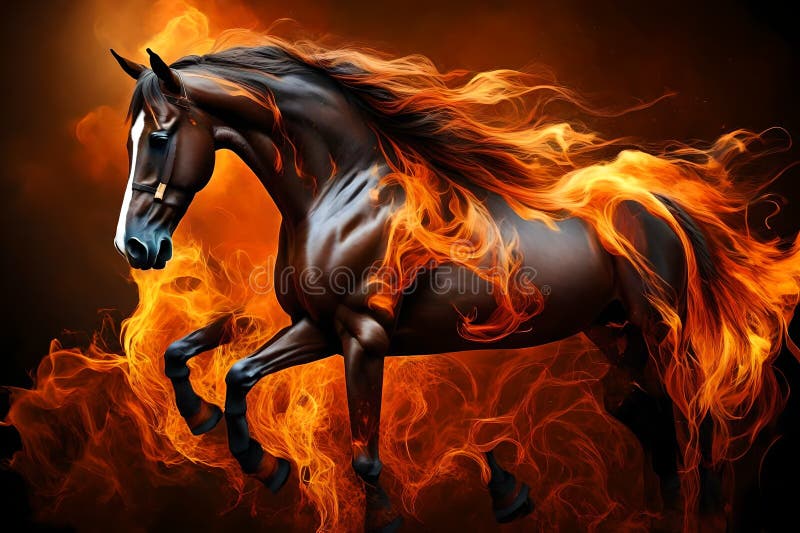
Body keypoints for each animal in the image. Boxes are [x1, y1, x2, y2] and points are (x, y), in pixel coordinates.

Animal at [109, 40, 799, 532]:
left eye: (161, 136)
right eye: (130, 137)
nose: (137, 247)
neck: (343, 193)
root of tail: (660, 206)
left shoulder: (363, 336)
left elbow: (363, 451)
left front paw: (379, 516)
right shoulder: (317, 327)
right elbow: (225, 370)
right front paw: (259, 462)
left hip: (663, 334)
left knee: (695, 420)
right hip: (616, 334)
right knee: (650, 420)